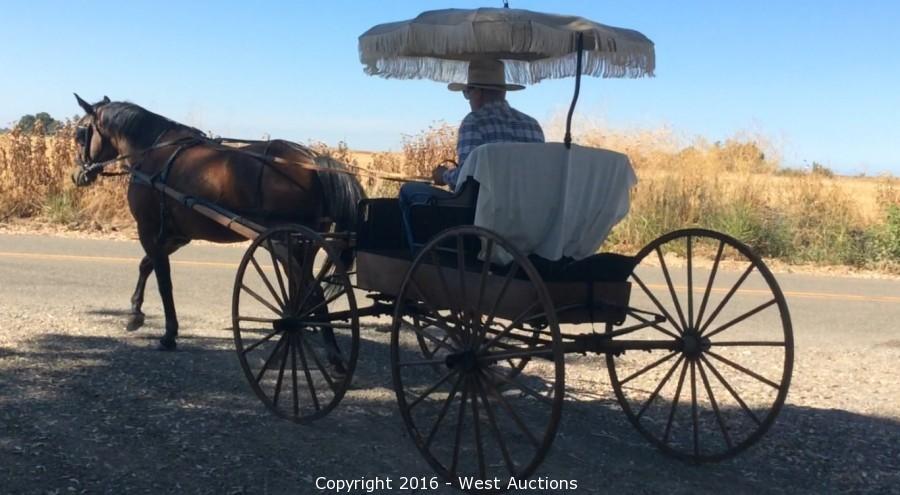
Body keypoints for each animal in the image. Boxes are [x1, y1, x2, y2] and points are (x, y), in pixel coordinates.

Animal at [71, 94, 364, 352]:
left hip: (288, 242)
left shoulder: (149, 229)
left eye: (80, 133)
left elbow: (163, 280)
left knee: (312, 291)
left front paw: (168, 333)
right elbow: (146, 266)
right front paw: (135, 312)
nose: (78, 175)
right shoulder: (176, 235)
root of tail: (312, 160)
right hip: (305, 243)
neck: (153, 152)